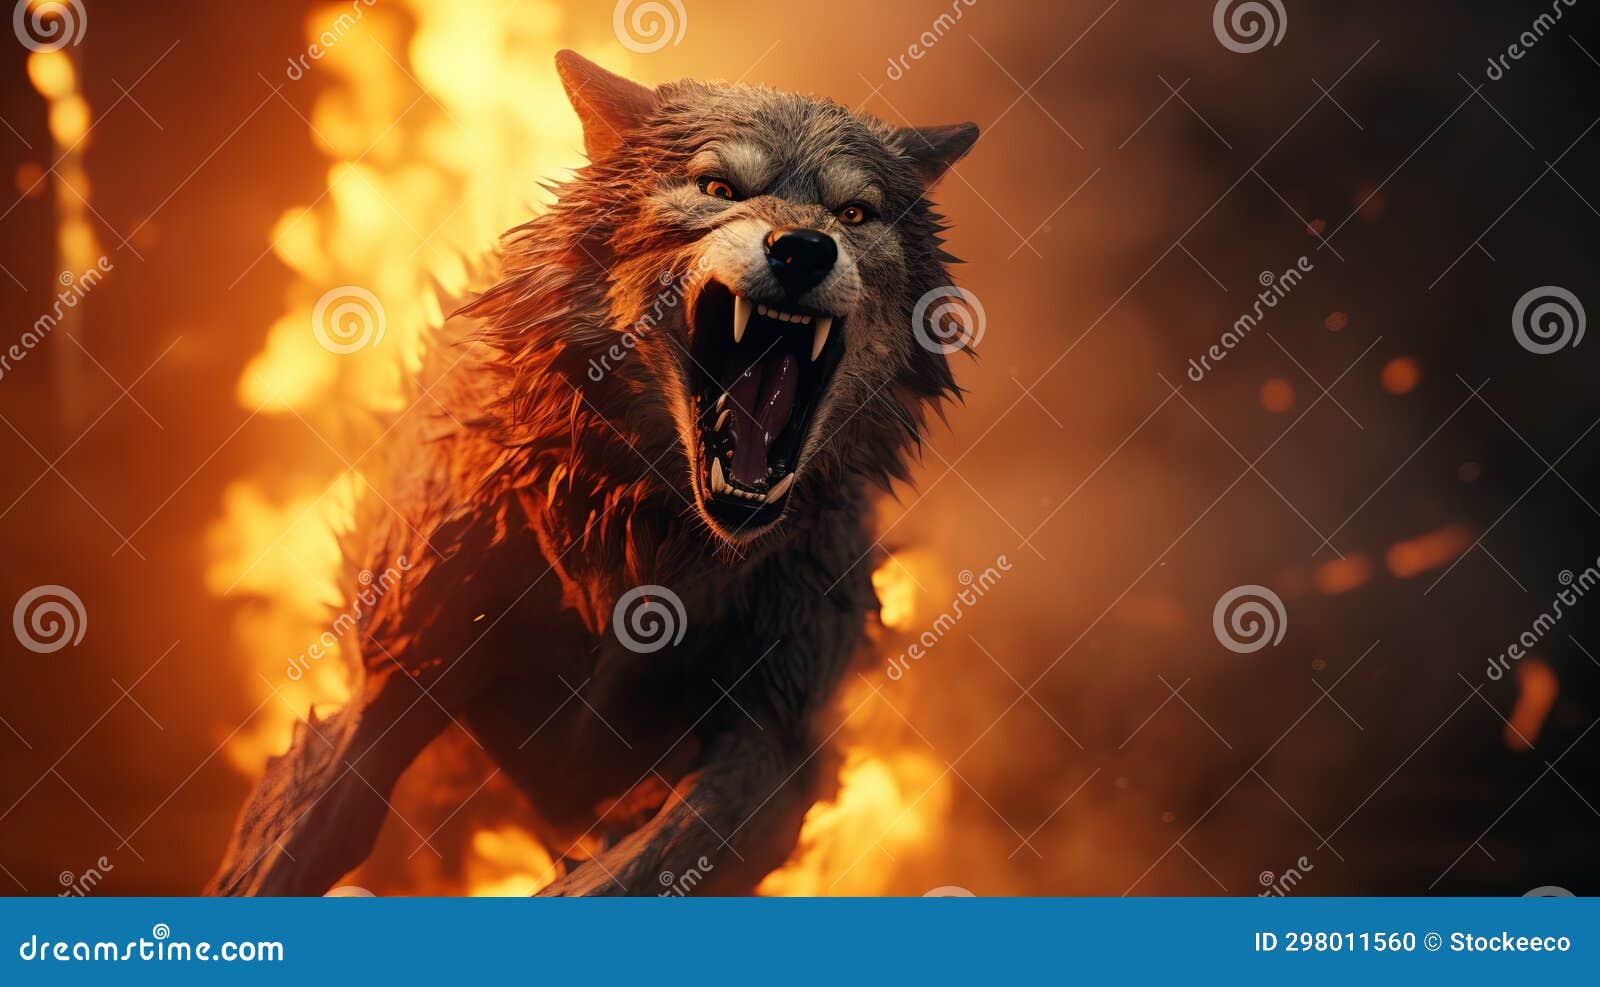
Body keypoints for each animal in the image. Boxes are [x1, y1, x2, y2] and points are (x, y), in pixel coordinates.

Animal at [208, 50, 978, 896]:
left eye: (855, 213)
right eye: (718, 188)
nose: (803, 247)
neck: (641, 541)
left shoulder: (774, 740)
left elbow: (641, 864)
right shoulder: (394, 677)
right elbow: (290, 846)